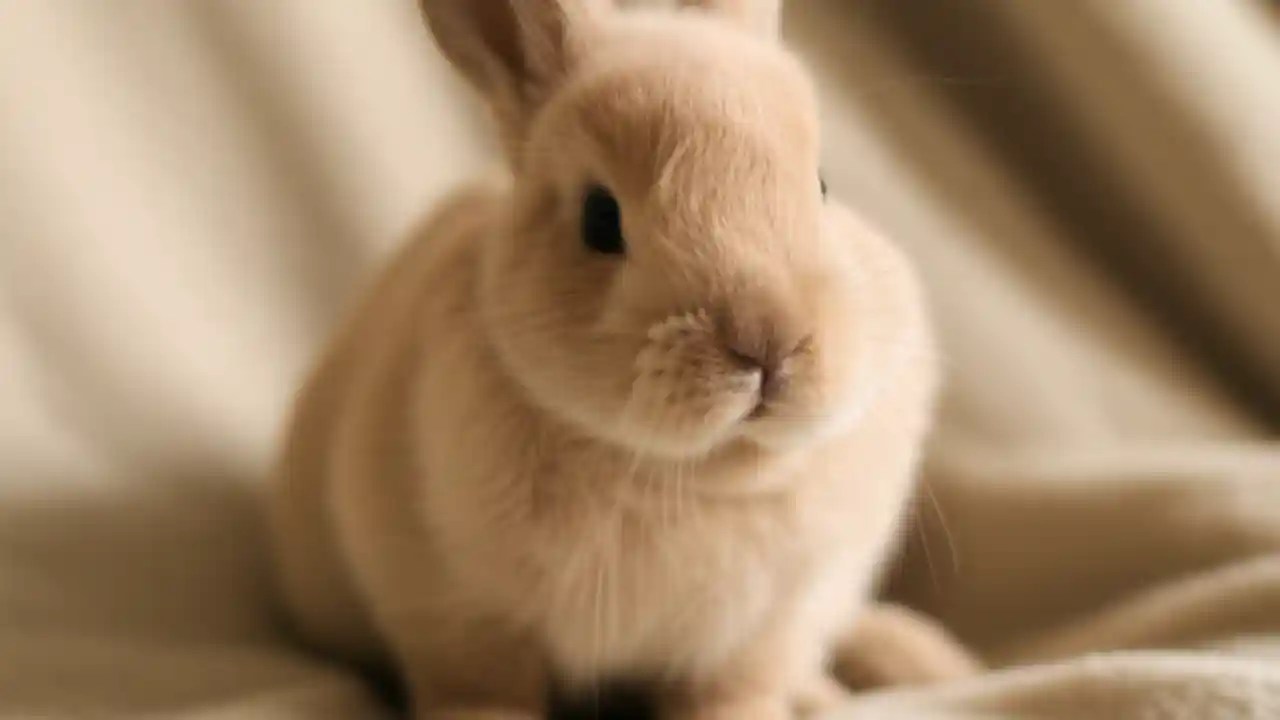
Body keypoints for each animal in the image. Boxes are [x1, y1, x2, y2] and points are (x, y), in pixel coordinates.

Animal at [268, 1, 979, 718]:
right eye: (599, 219)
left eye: (823, 186)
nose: (769, 341)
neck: (690, 476)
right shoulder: (460, 619)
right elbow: (483, 692)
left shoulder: (766, 629)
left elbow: (736, 693)